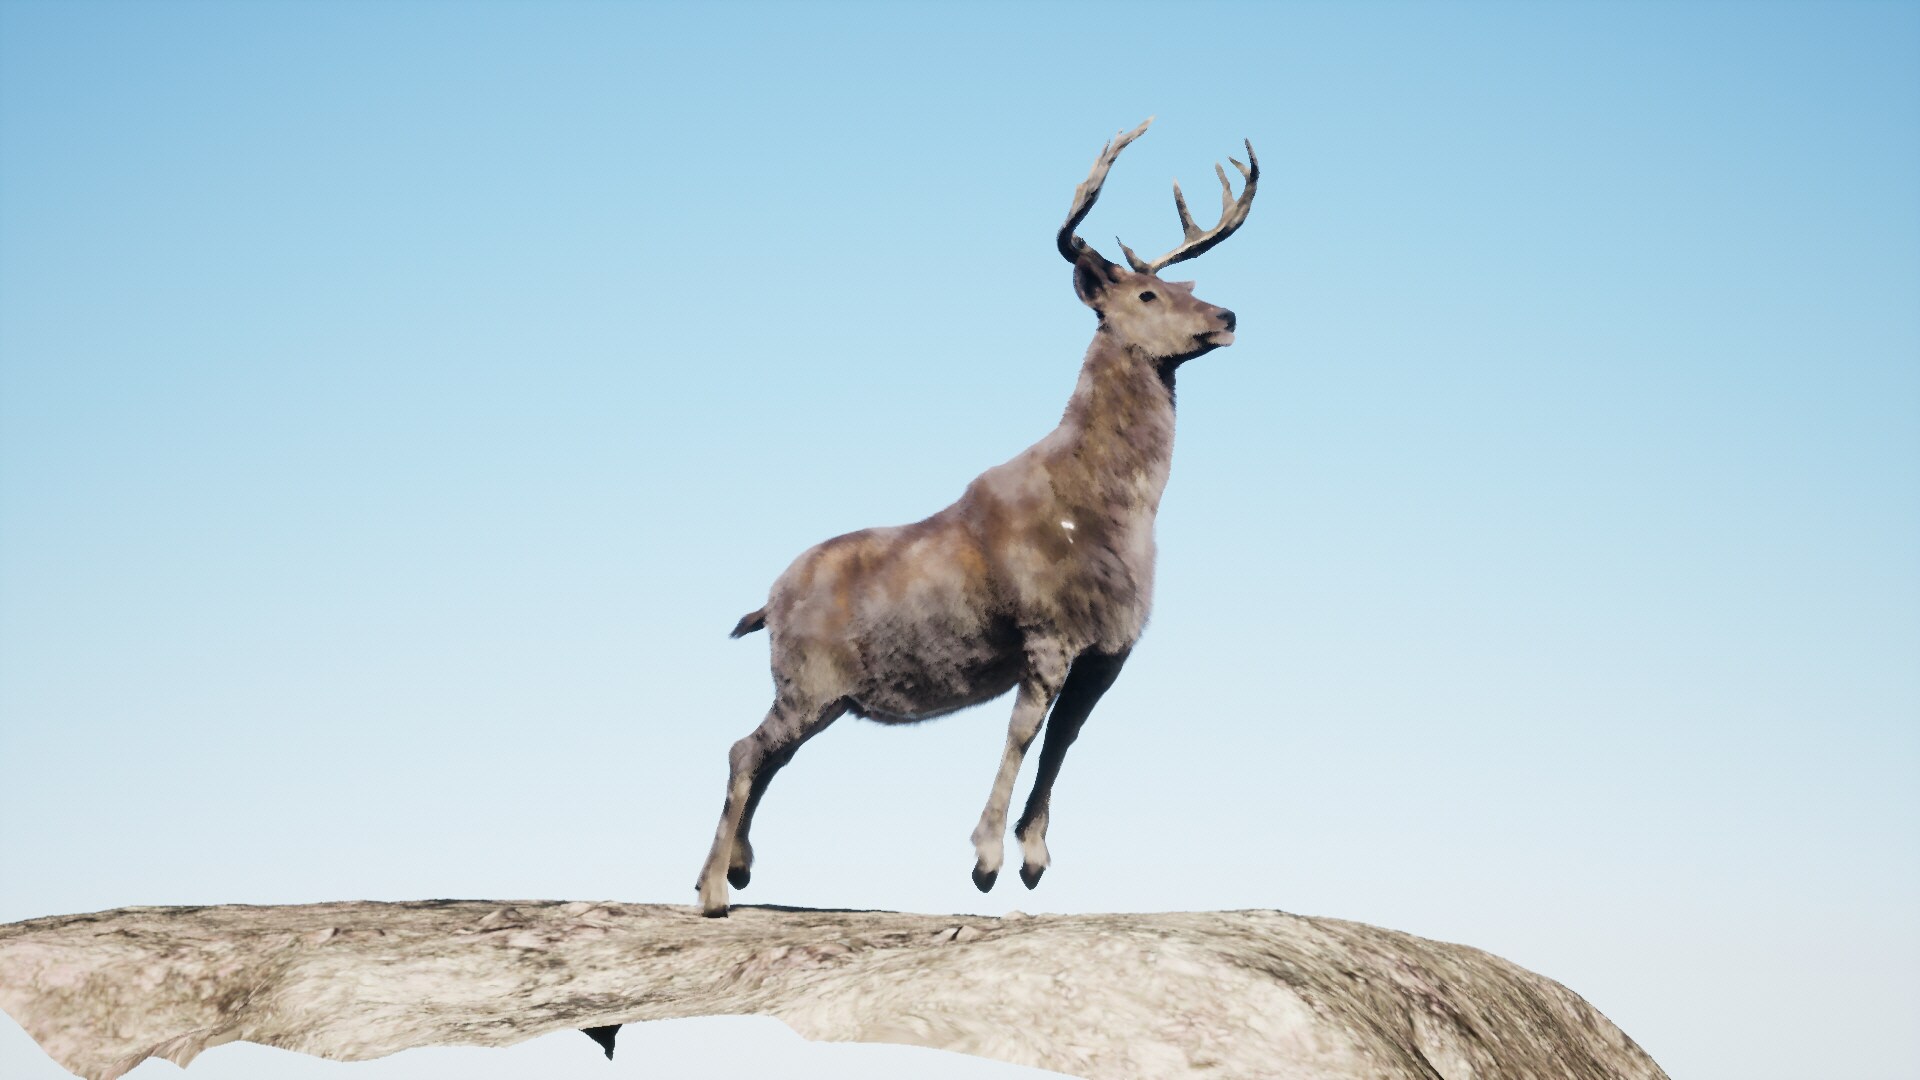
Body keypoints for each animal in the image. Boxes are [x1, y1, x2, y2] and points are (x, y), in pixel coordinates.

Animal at [697, 118, 1257, 917]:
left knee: (765, 755)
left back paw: (735, 870)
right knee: (746, 749)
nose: (1227, 316)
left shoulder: (1111, 647)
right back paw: (714, 887)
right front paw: (987, 860)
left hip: (822, 696)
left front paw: (1035, 857)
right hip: (806, 679)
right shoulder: (1048, 628)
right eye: (1149, 293)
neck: (1115, 516)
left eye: (1189, 285)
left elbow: (1064, 741)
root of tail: (764, 607)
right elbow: (1023, 733)